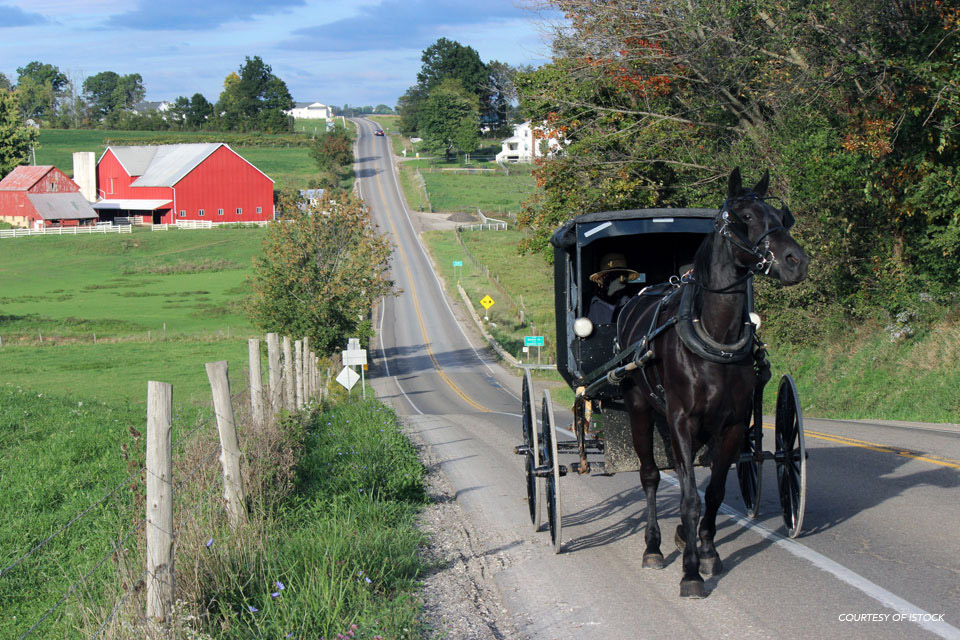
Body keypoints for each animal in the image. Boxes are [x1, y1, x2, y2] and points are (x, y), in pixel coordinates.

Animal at [616, 168, 808, 596]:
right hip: (640, 409)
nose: (797, 261)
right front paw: (690, 572)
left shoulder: (732, 425)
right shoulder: (681, 421)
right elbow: (689, 499)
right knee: (651, 475)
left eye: (780, 216)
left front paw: (706, 550)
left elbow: (715, 493)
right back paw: (653, 546)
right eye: (746, 217)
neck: (714, 337)